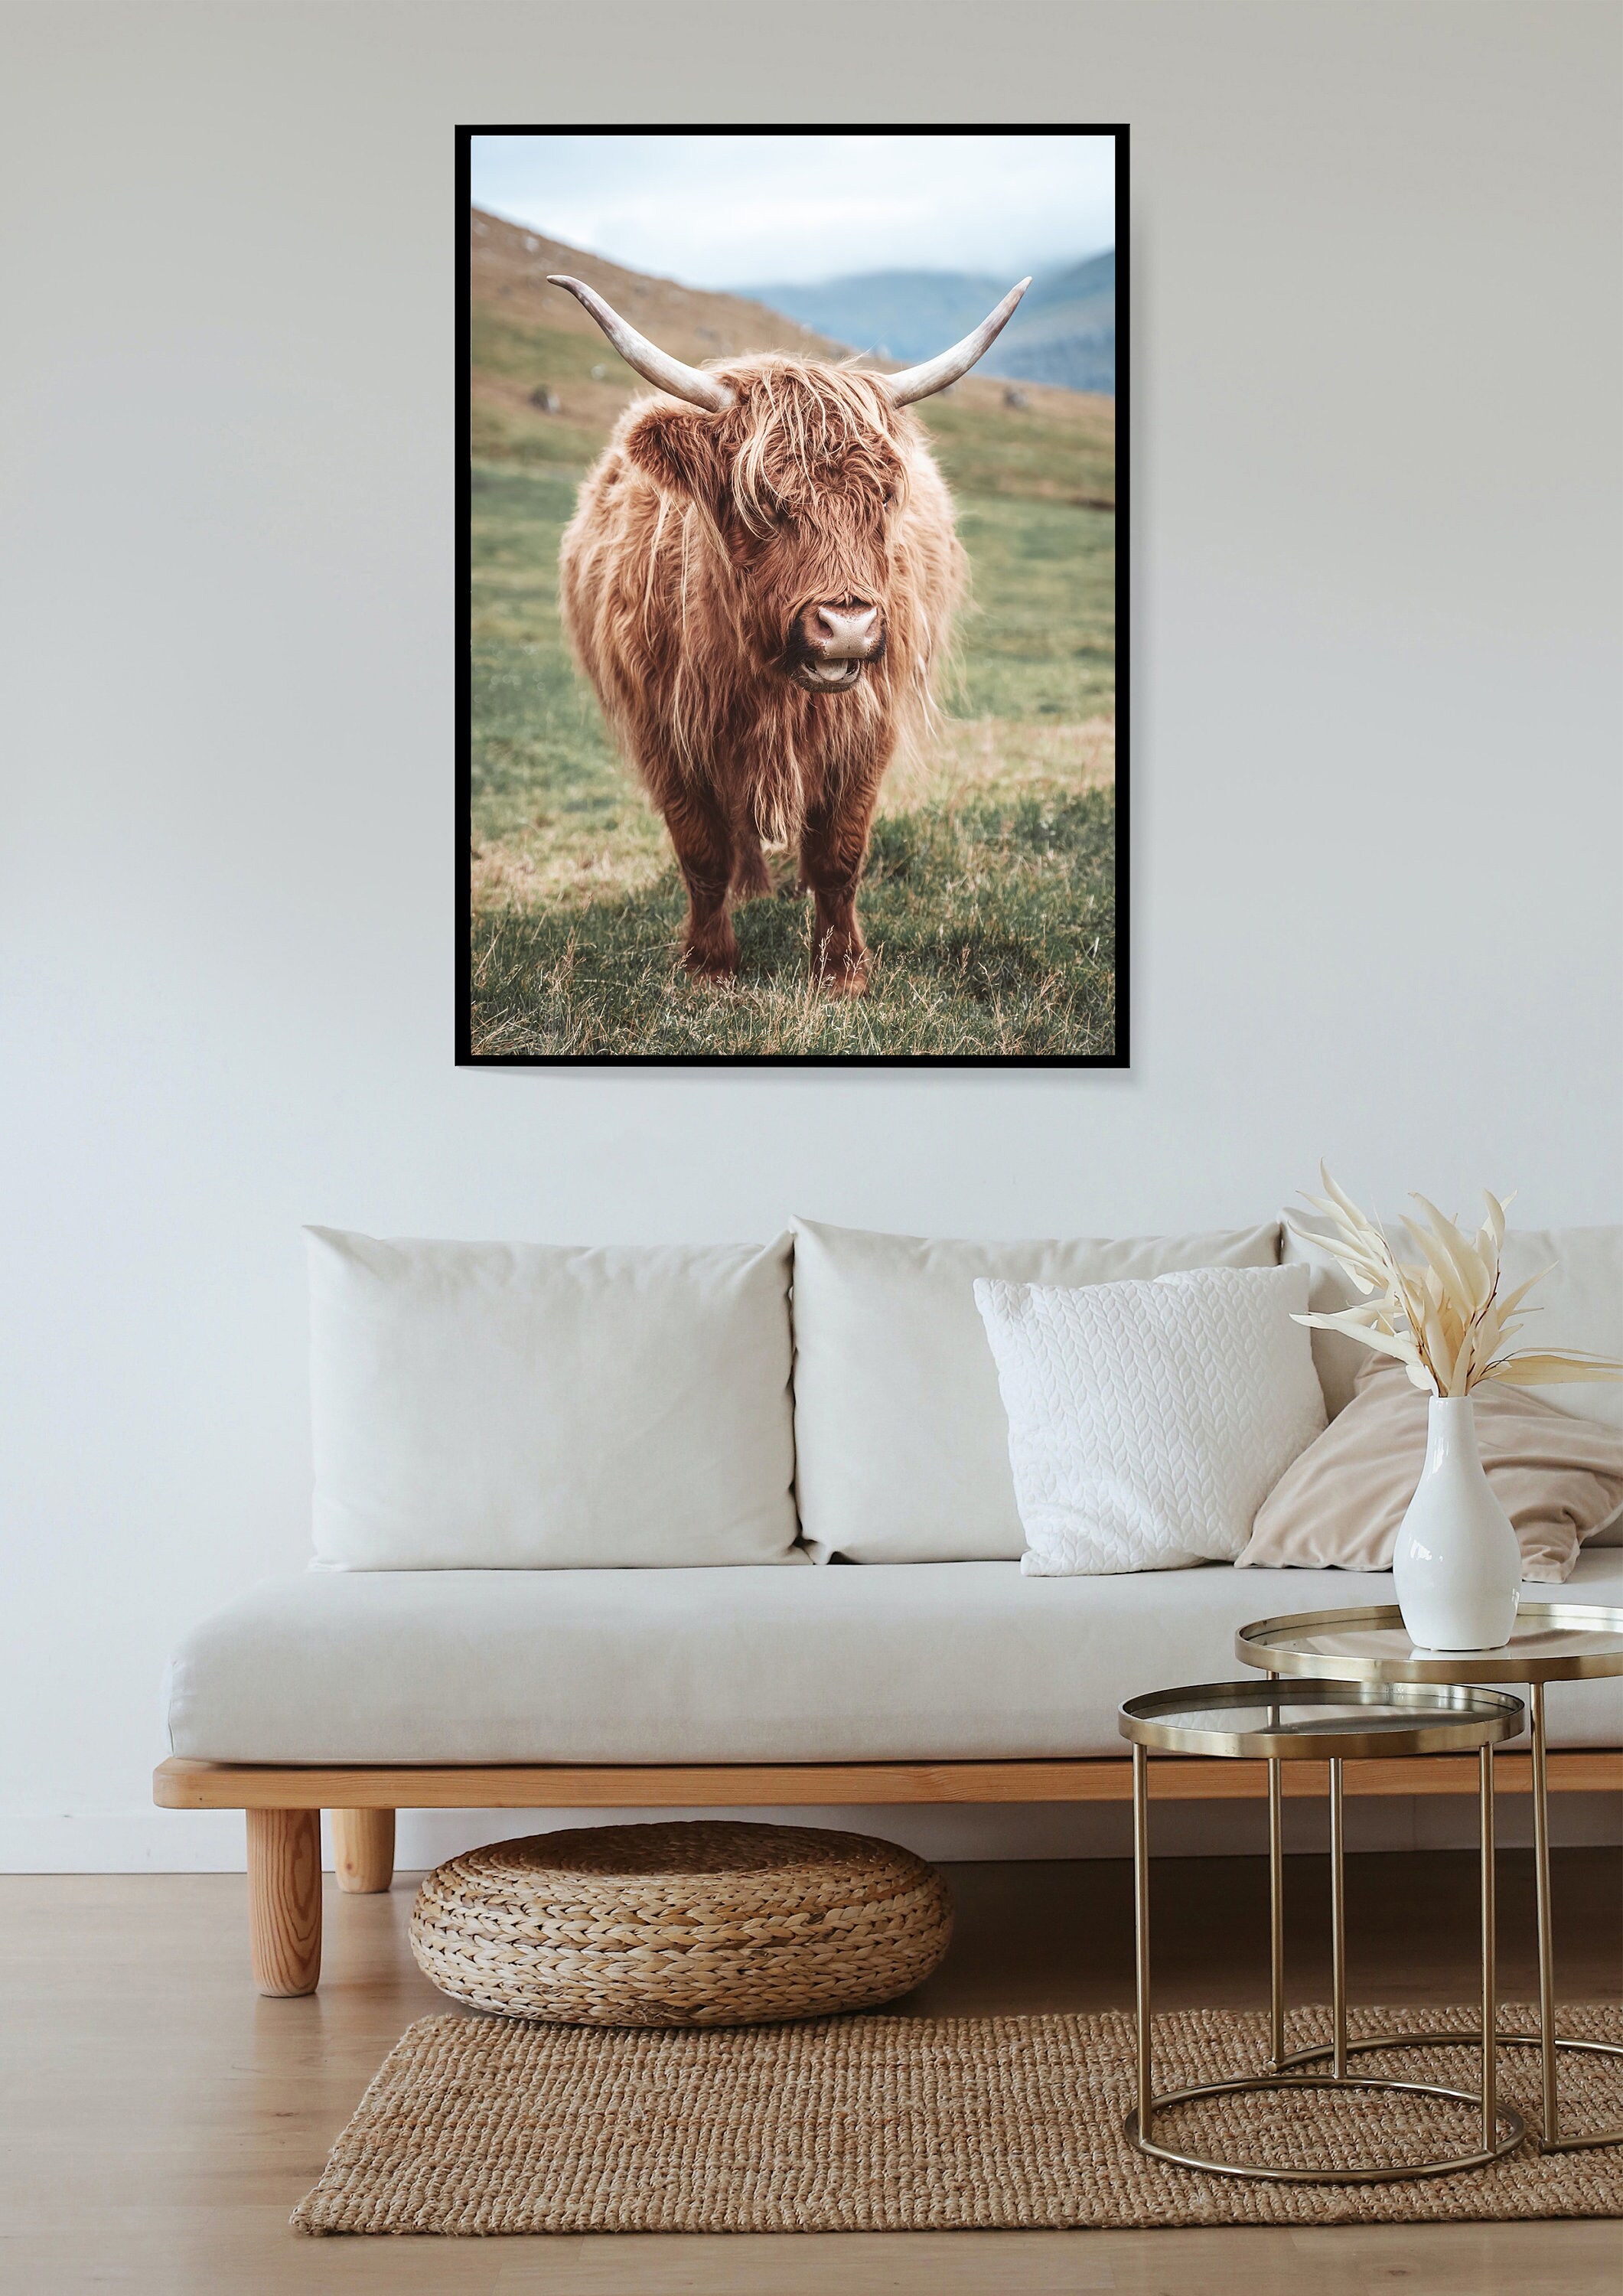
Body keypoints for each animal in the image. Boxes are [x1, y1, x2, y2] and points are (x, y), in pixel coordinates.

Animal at [551, 272, 1029, 993]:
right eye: (763, 501)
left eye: (883, 497)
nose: (847, 627)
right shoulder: (663, 729)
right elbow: (702, 853)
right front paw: (710, 965)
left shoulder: (866, 727)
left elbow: (839, 853)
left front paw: (842, 970)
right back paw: (752, 887)